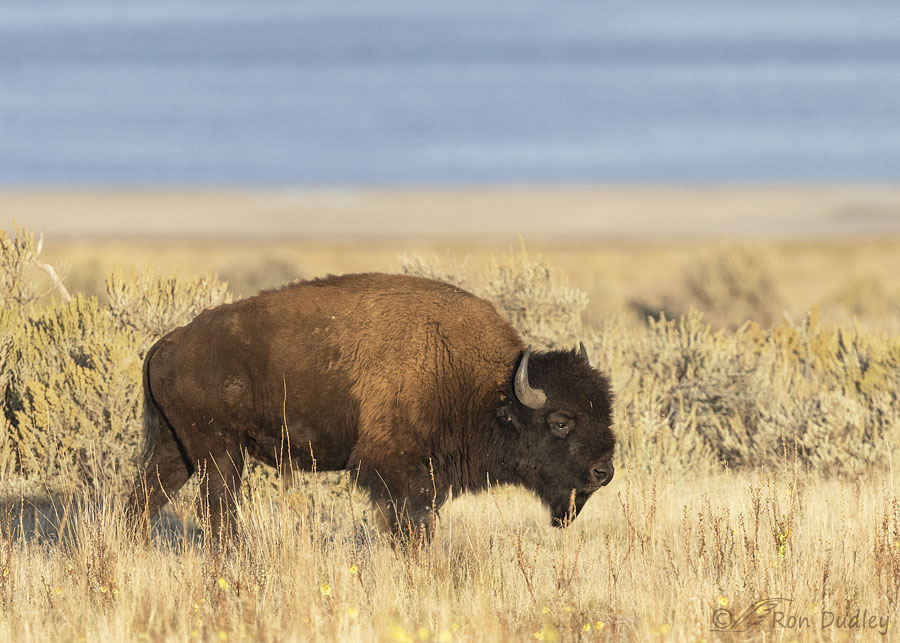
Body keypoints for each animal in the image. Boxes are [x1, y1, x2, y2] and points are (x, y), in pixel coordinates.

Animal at [129, 273, 615, 537]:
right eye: (560, 421)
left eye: (604, 410)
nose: (603, 472)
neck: (489, 388)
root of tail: (169, 342)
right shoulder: (396, 473)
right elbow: (412, 528)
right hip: (220, 454)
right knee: (217, 509)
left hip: (178, 450)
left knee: (145, 497)